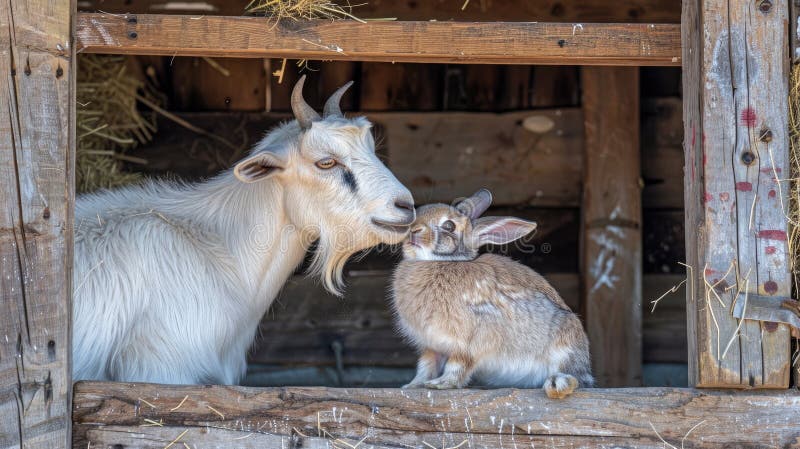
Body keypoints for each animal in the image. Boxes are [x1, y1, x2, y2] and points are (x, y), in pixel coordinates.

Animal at [391, 188, 593, 398]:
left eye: (449, 226)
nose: (413, 231)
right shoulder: (432, 346)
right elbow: (427, 365)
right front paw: (413, 385)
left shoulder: (470, 342)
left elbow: (458, 365)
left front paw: (441, 384)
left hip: (564, 343)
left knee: (576, 378)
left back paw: (558, 384)